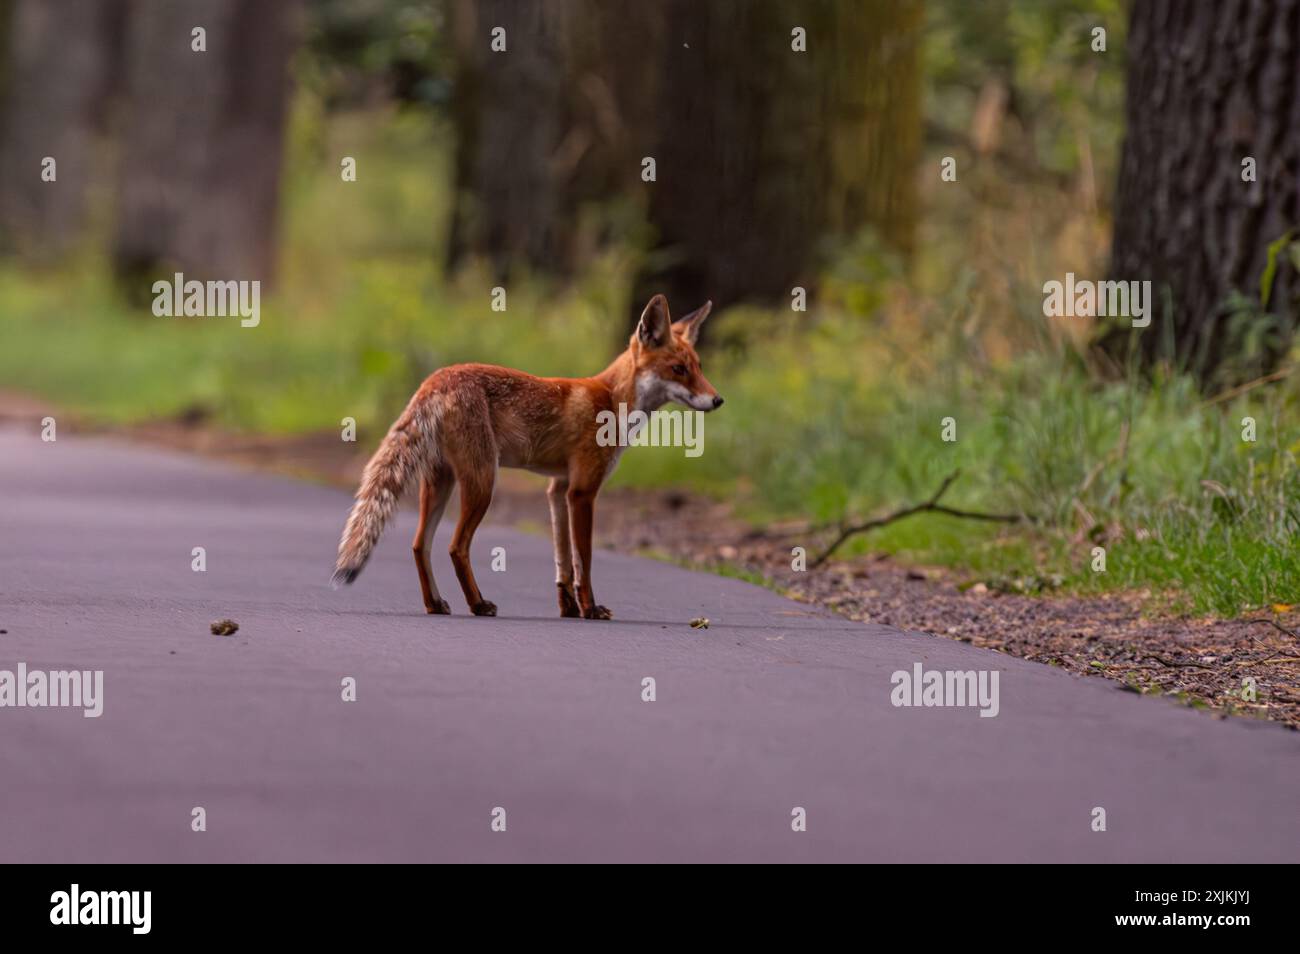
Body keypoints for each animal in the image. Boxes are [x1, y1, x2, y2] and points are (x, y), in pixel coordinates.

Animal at [331, 294, 723, 620]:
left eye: (699, 367)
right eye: (678, 370)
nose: (718, 400)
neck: (612, 401)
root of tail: (435, 379)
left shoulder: (558, 489)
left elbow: (563, 561)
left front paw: (569, 609)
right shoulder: (582, 491)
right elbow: (585, 559)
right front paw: (590, 609)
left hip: (440, 482)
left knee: (418, 545)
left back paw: (435, 604)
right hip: (483, 481)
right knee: (456, 547)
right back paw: (478, 604)